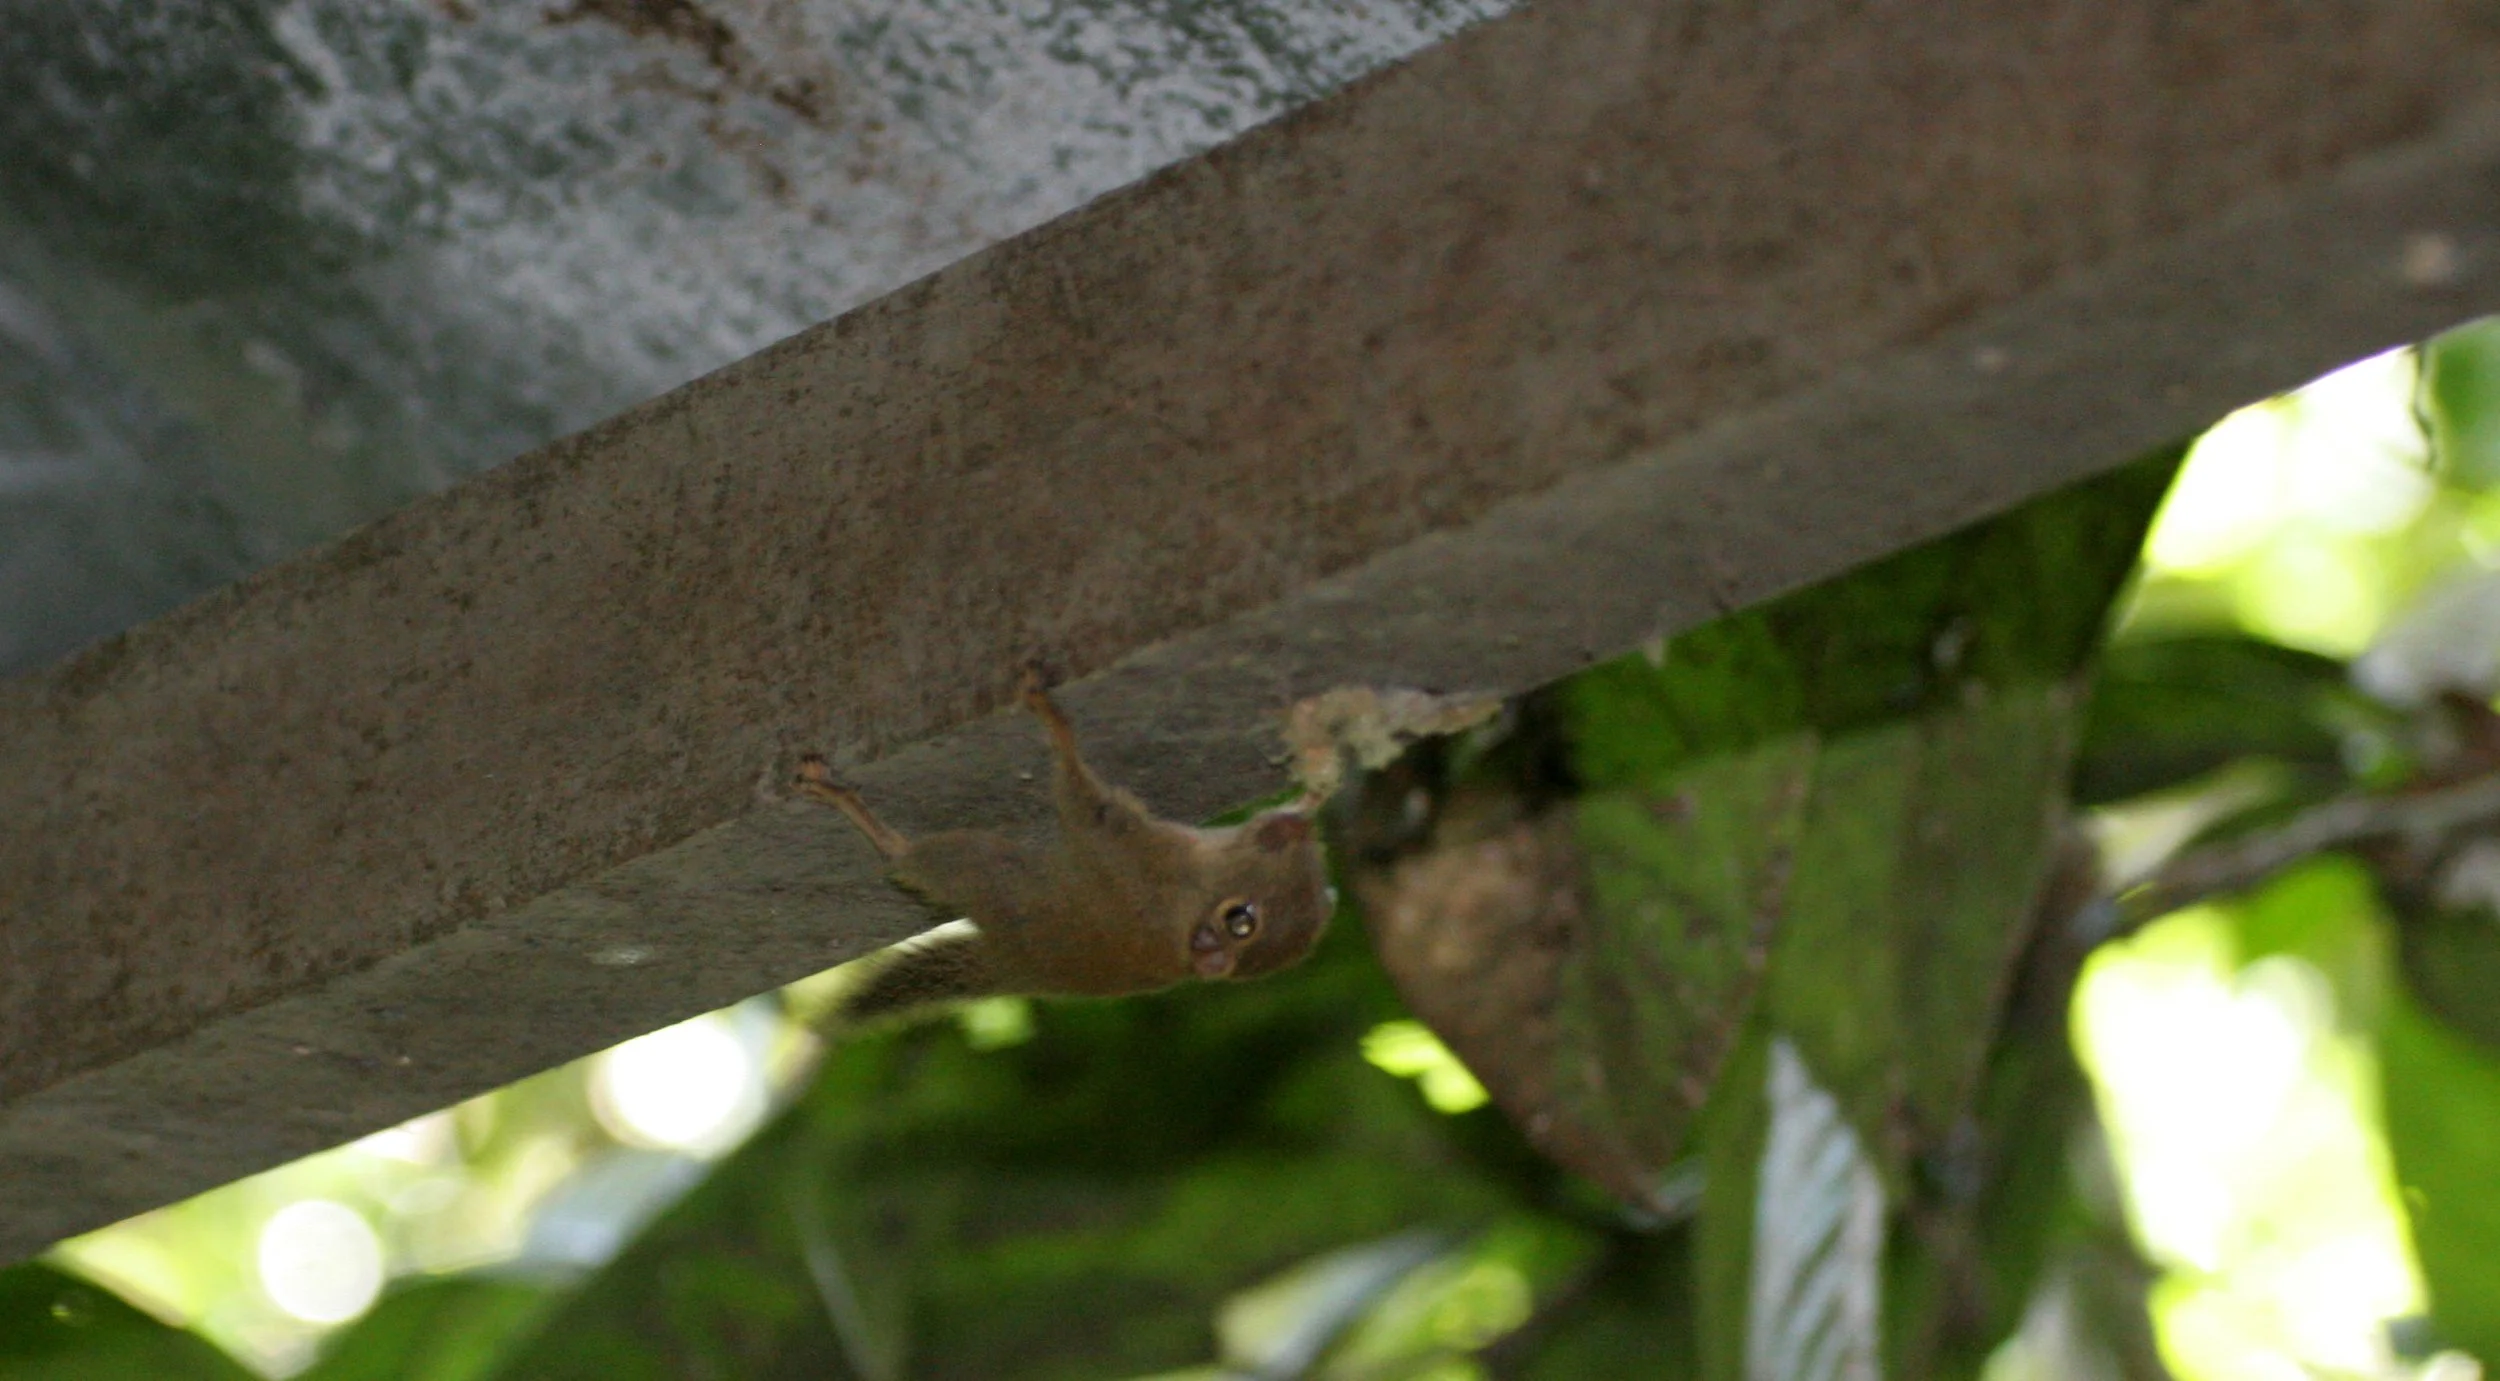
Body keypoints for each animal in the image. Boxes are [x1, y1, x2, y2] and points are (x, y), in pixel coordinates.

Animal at [794, 665, 1335, 1024]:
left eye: (1241, 922)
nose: (1295, 832)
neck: (1192, 887)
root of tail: (1011, 968)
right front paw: (1314, 783)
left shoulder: (1132, 848)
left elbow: (1082, 798)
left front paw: (1054, 722)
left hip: (979, 869)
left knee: (905, 859)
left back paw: (849, 805)